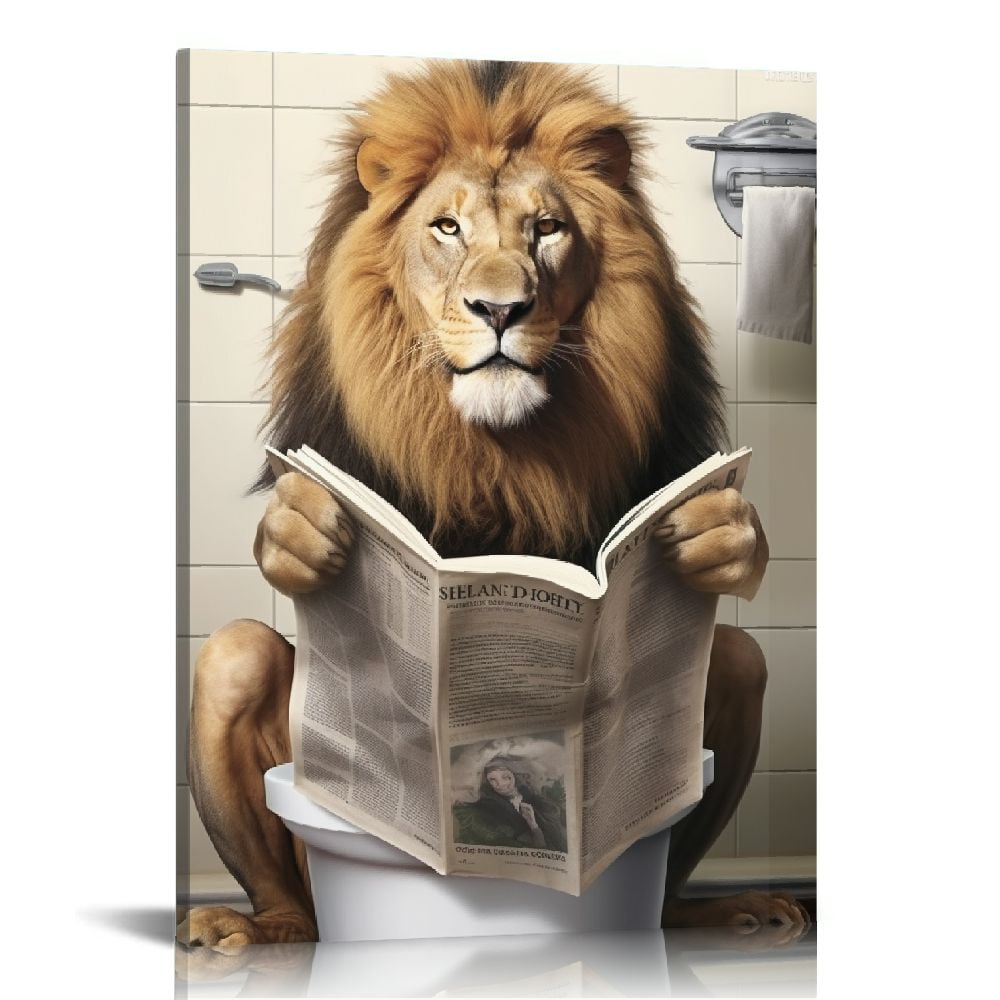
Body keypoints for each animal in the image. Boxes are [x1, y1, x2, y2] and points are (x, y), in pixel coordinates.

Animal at [179, 59, 810, 952]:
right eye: (447, 228)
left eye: (546, 228)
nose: (501, 309)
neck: (494, 459)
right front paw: (305, 530)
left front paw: (715, 534)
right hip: (282, 766)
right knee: (243, 678)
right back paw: (246, 930)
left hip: (712, 696)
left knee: (735, 661)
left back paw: (724, 913)